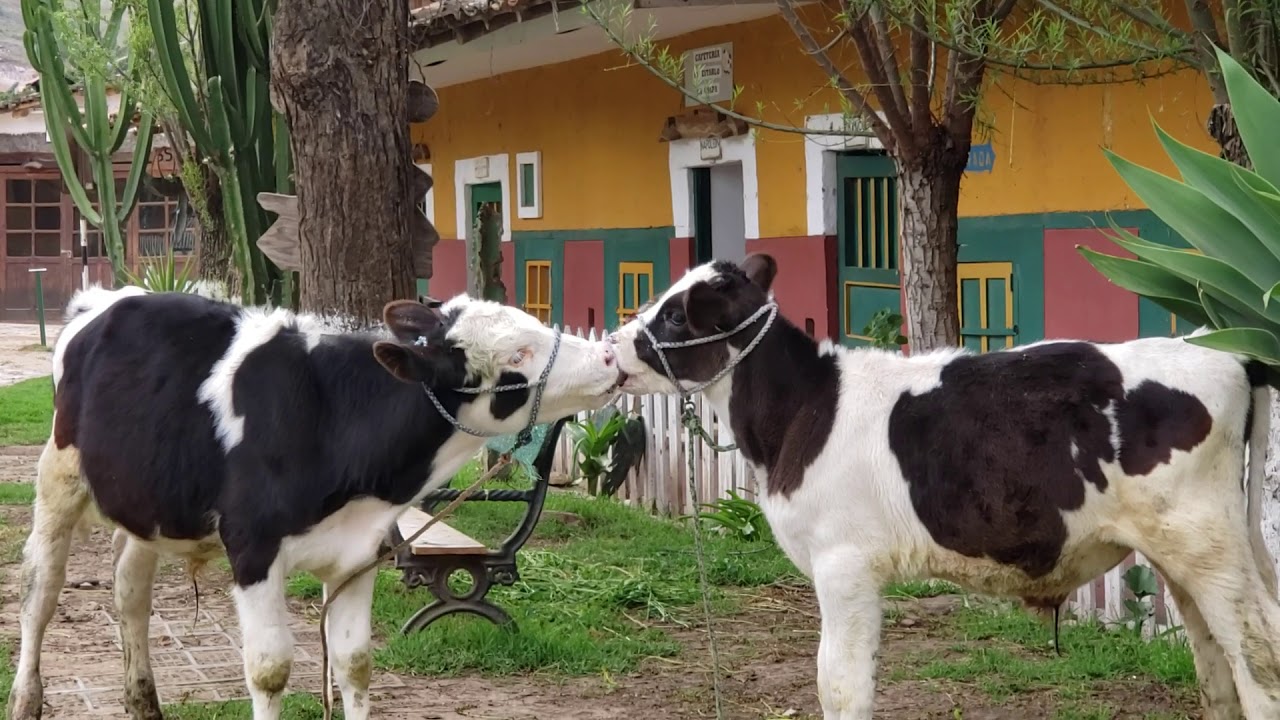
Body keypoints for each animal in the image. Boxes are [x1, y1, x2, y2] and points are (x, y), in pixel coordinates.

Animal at [8, 285, 626, 720]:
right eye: (519, 355)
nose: (610, 356)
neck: (333, 418)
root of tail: (104, 299)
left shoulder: (359, 555)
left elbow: (354, 664)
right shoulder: (253, 549)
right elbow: (269, 670)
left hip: (150, 506)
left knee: (130, 593)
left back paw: (143, 702)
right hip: (58, 478)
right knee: (40, 594)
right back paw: (25, 699)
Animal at [608, 253, 1280, 720]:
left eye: (675, 313)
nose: (612, 348)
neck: (803, 411)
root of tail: (1222, 350)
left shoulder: (842, 564)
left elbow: (841, 684)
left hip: (1208, 545)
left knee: (1257, 656)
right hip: (1191, 552)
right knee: (1218, 668)